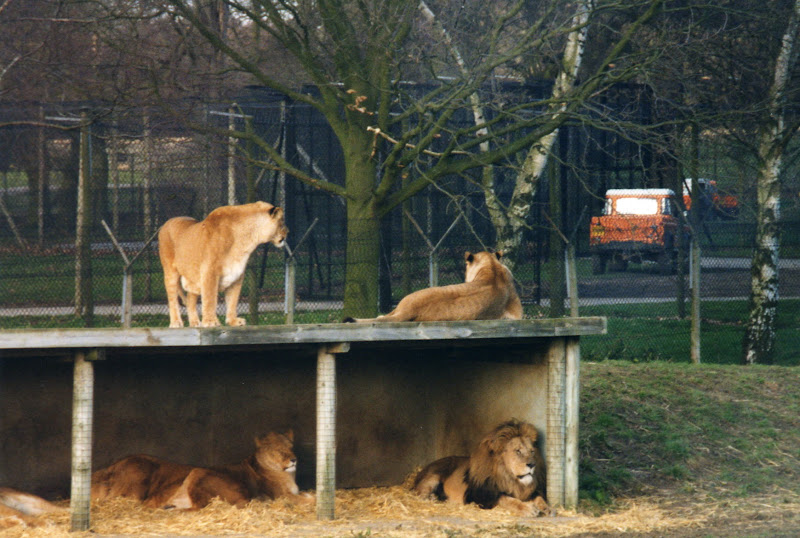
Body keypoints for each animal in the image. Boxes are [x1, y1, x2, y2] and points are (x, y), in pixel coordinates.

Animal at [91, 430, 313, 510]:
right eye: (277, 450)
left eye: (290, 446)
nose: (294, 459)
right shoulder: (280, 496)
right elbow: (306, 499)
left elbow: (308, 495)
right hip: (196, 472)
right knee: (198, 507)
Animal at [158, 201, 288, 328]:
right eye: (282, 222)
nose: (288, 232)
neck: (248, 239)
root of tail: (166, 223)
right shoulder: (209, 271)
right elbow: (210, 299)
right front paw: (210, 322)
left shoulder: (237, 275)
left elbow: (233, 300)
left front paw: (233, 321)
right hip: (170, 272)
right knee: (172, 299)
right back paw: (176, 323)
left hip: (193, 279)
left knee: (190, 299)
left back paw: (195, 322)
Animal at [412, 419, 550, 516]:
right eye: (518, 451)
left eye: (532, 451)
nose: (532, 464)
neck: (508, 477)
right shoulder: (479, 496)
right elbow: (506, 499)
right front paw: (527, 508)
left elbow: (538, 497)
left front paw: (546, 508)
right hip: (433, 477)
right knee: (418, 493)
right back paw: (431, 497)